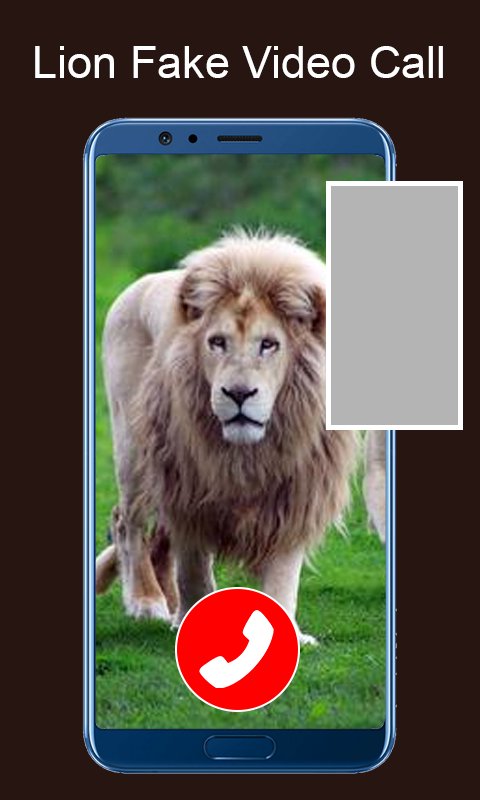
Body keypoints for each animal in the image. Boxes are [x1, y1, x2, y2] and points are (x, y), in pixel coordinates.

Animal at [96, 231, 357, 643]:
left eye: (269, 344)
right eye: (217, 342)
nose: (238, 393)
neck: (246, 454)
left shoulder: (295, 493)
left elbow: (283, 576)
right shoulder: (188, 490)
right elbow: (194, 572)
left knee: (159, 540)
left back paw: (170, 605)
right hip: (135, 450)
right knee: (128, 522)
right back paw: (147, 602)